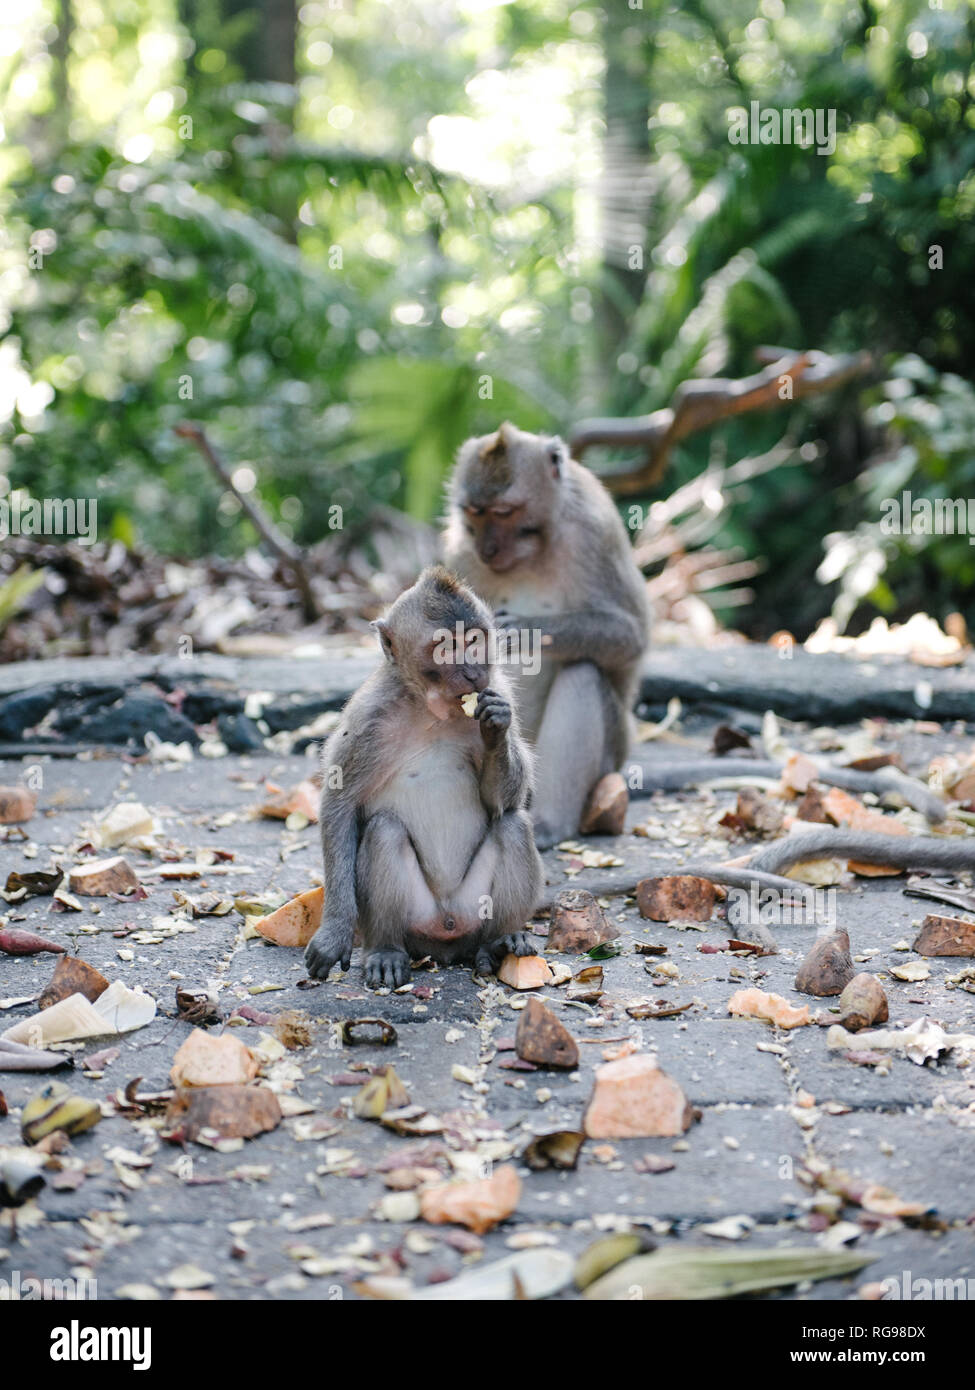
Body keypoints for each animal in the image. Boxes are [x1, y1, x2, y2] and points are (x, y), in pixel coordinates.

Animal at [304, 565, 543, 989]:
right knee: (384, 830)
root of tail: (446, 935)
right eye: (445, 647)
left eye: (474, 640)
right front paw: (334, 931)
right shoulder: (368, 718)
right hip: (416, 920)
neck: (434, 710)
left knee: (513, 824)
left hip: (471, 909)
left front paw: (495, 726)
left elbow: (506, 801)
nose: (473, 671)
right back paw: (385, 952)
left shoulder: (498, 687)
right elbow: (340, 805)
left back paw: (500, 942)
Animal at [443, 421, 650, 848]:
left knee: (583, 673)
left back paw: (550, 823)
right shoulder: (459, 550)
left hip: (613, 753)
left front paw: (523, 631)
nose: (487, 547)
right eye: (476, 513)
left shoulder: (594, 529)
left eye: (504, 512)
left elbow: (631, 634)